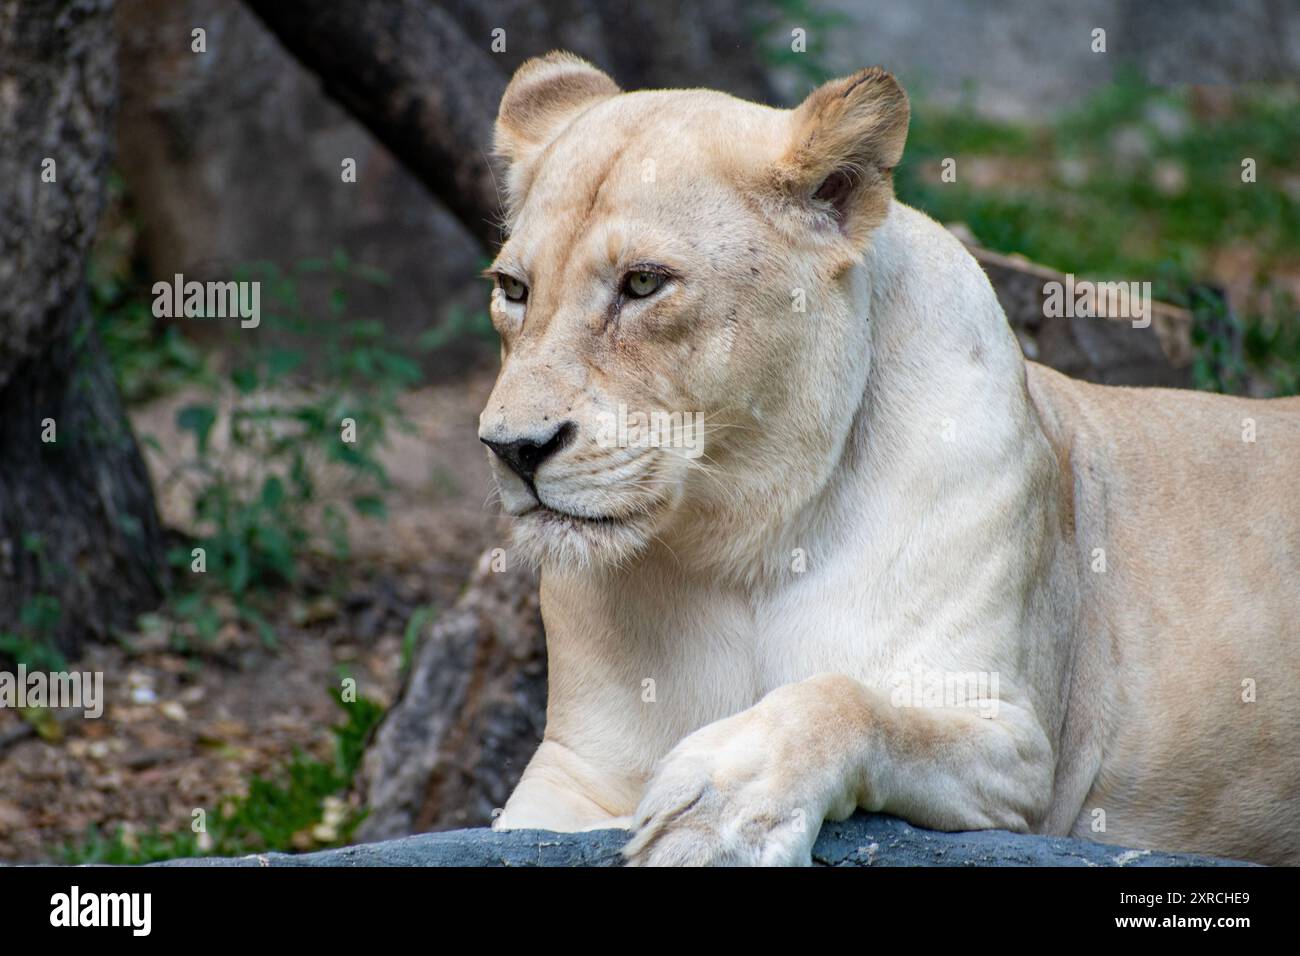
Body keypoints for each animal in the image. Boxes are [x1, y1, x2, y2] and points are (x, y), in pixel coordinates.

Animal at [477, 52, 1300, 865]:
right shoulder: (572, 774)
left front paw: (714, 813)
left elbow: (845, 699)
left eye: (644, 282)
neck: (745, 542)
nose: (512, 449)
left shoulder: (1017, 750)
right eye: (513, 288)